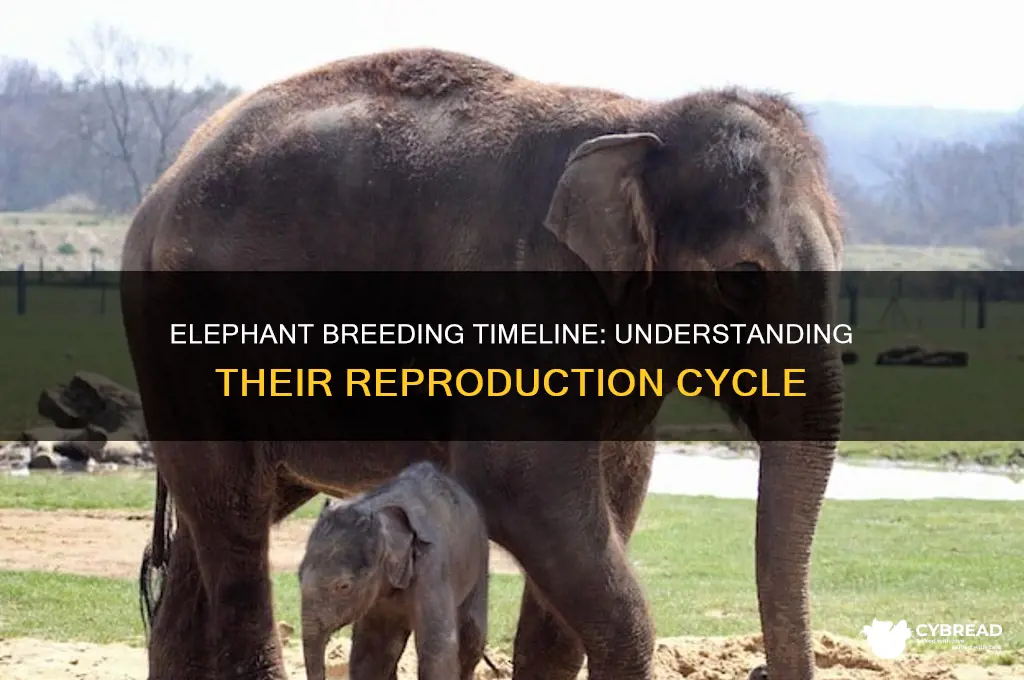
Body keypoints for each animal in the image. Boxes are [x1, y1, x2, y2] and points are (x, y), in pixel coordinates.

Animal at [299, 461, 490, 680]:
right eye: (299, 576)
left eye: (344, 586)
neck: (379, 512)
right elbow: (373, 652)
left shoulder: (432, 567)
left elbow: (437, 648)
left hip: (480, 560)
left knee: (472, 637)